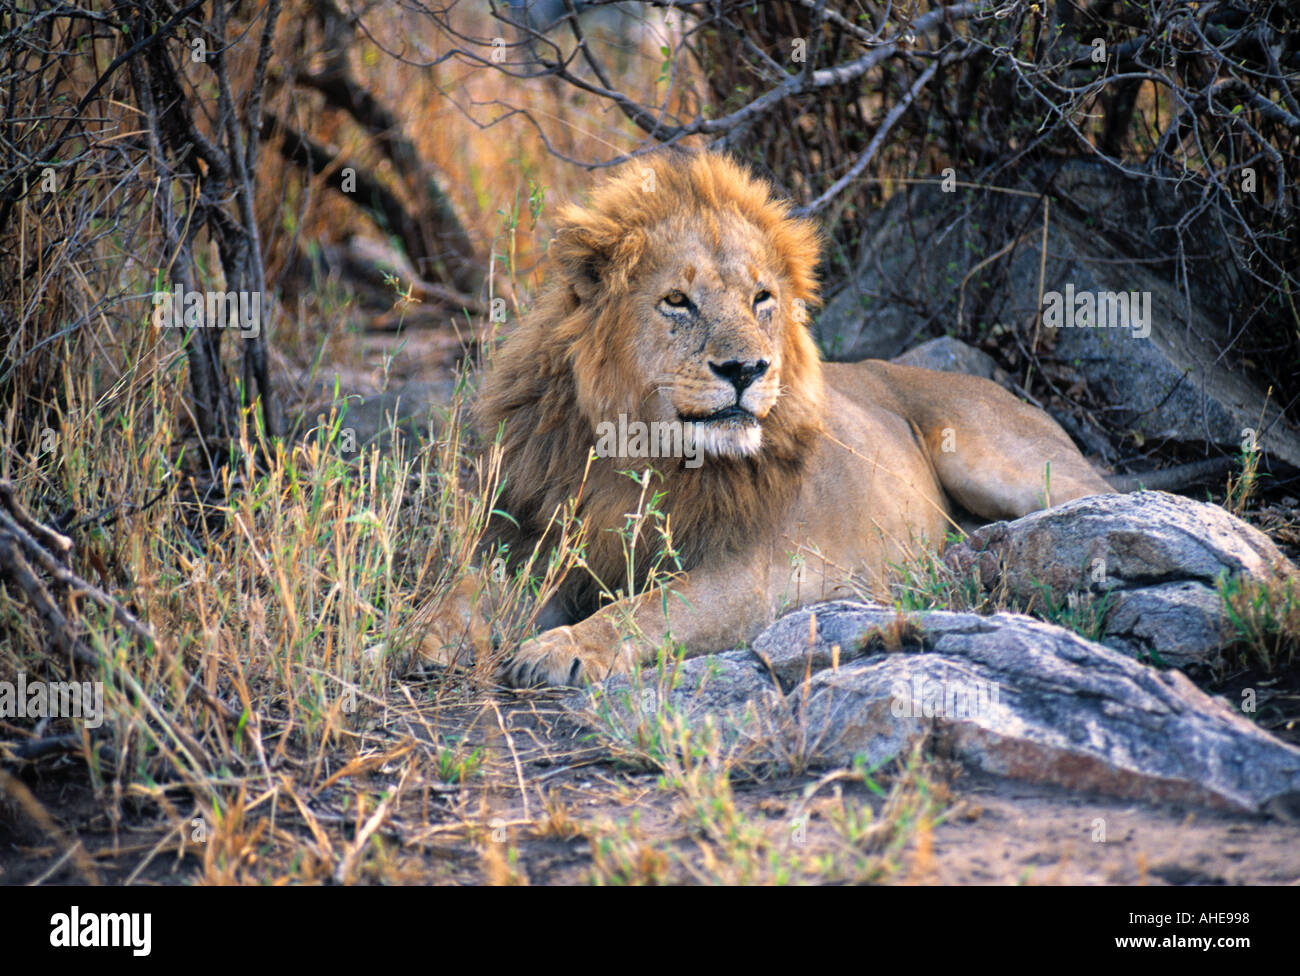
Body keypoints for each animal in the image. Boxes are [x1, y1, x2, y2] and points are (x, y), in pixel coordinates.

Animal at [446, 149, 1113, 687]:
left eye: (761, 298)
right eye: (677, 301)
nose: (747, 369)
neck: (636, 450)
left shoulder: (752, 571)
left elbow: (648, 607)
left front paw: (565, 647)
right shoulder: (535, 537)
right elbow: (471, 593)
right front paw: (430, 637)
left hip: (1005, 462)